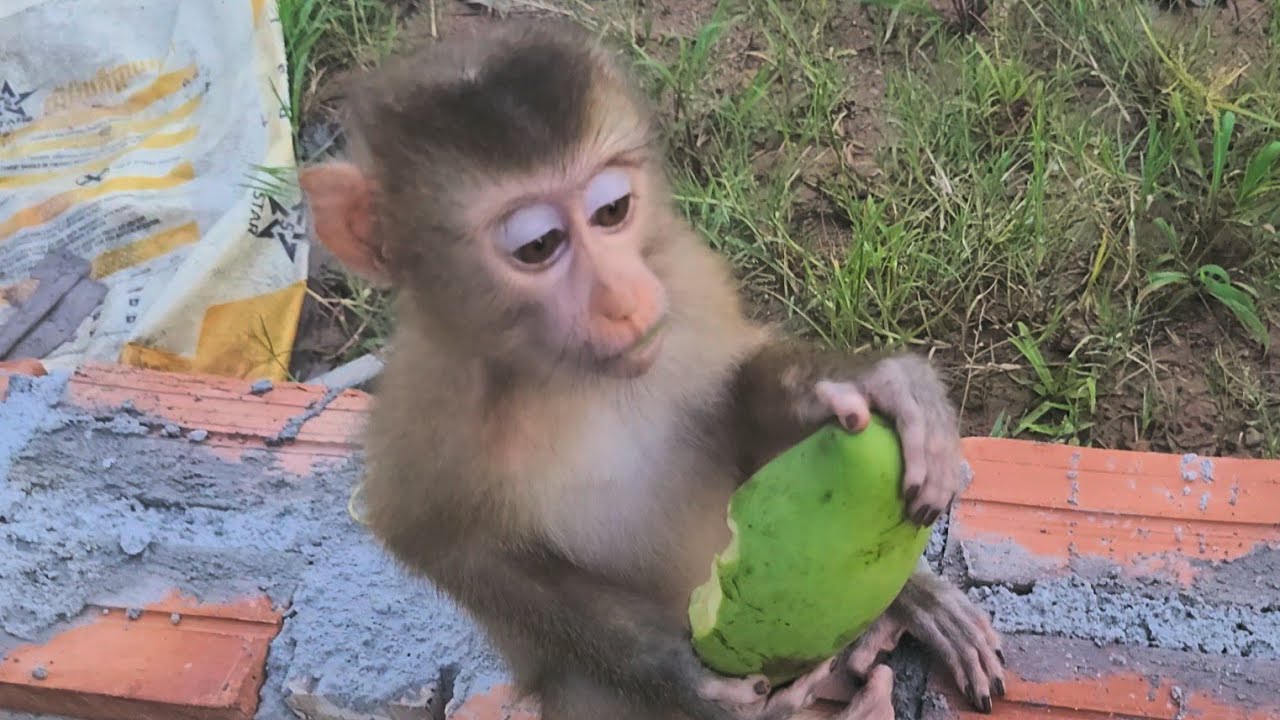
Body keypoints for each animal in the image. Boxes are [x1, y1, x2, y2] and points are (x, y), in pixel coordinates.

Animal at [299, 20, 1004, 720]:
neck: (577, 377)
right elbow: (458, 552)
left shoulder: (685, 277)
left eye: (612, 211)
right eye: (538, 245)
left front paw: (876, 385)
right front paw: (682, 675)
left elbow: (736, 398)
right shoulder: (431, 407)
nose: (625, 298)